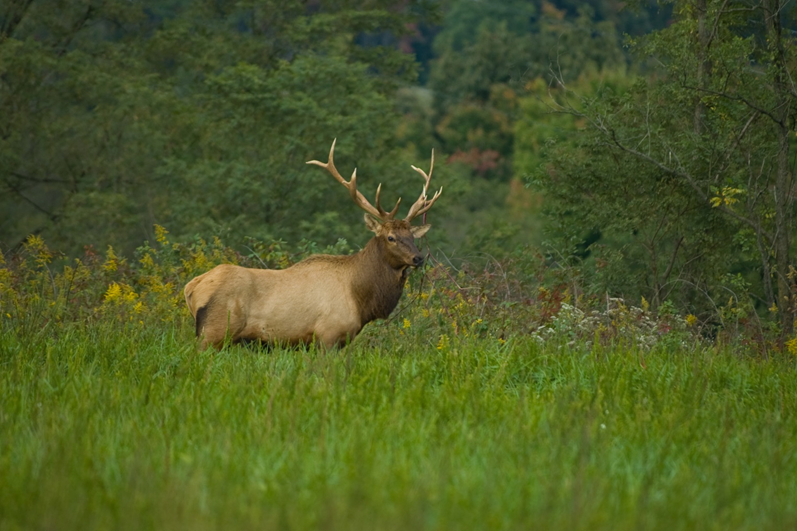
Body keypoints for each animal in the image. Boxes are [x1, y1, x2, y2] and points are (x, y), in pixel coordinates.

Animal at [183, 139, 442, 350]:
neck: (361, 299)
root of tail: (192, 287)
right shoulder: (328, 334)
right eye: (390, 237)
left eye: (412, 236)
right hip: (213, 332)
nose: (418, 258)